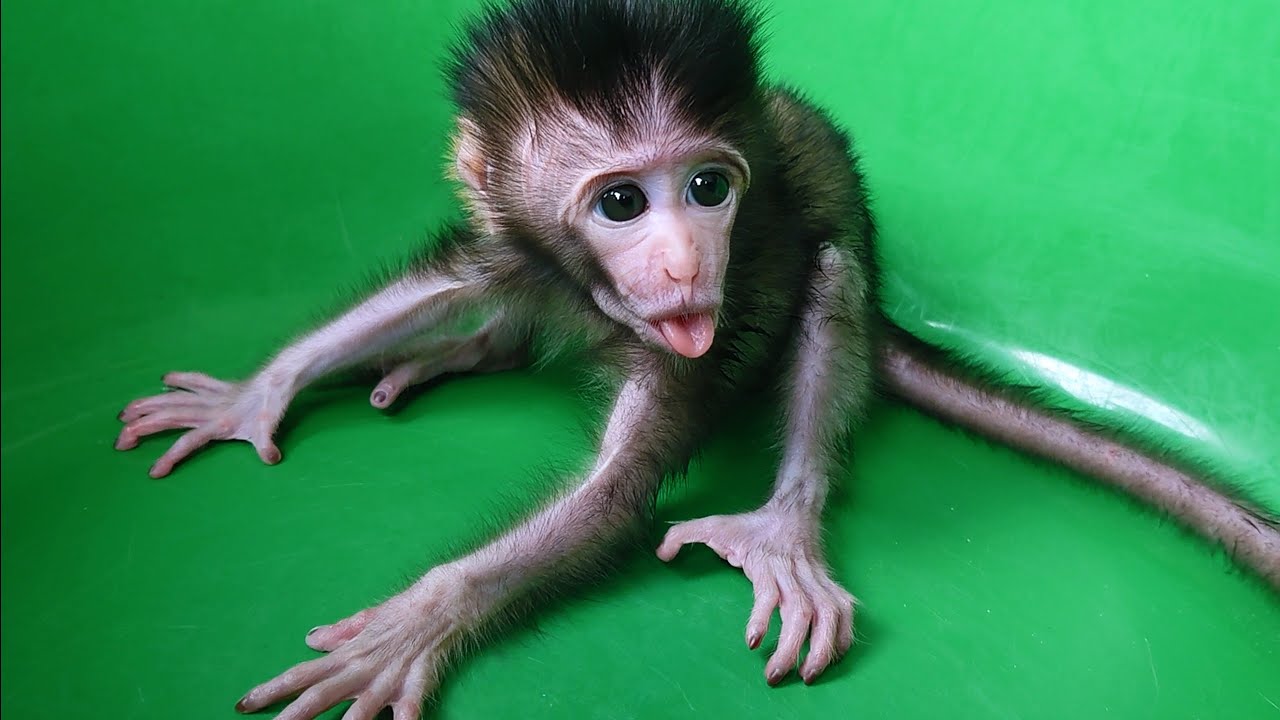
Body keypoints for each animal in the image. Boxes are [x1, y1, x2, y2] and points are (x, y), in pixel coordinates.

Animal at [113, 0, 1280, 717]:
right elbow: (437, 283)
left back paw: (780, 528)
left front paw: (420, 619)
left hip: (835, 277)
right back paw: (473, 348)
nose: (682, 259)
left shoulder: (700, 335)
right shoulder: (515, 240)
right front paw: (251, 394)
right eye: (624, 202)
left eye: (709, 189)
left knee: (829, 278)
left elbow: (613, 492)